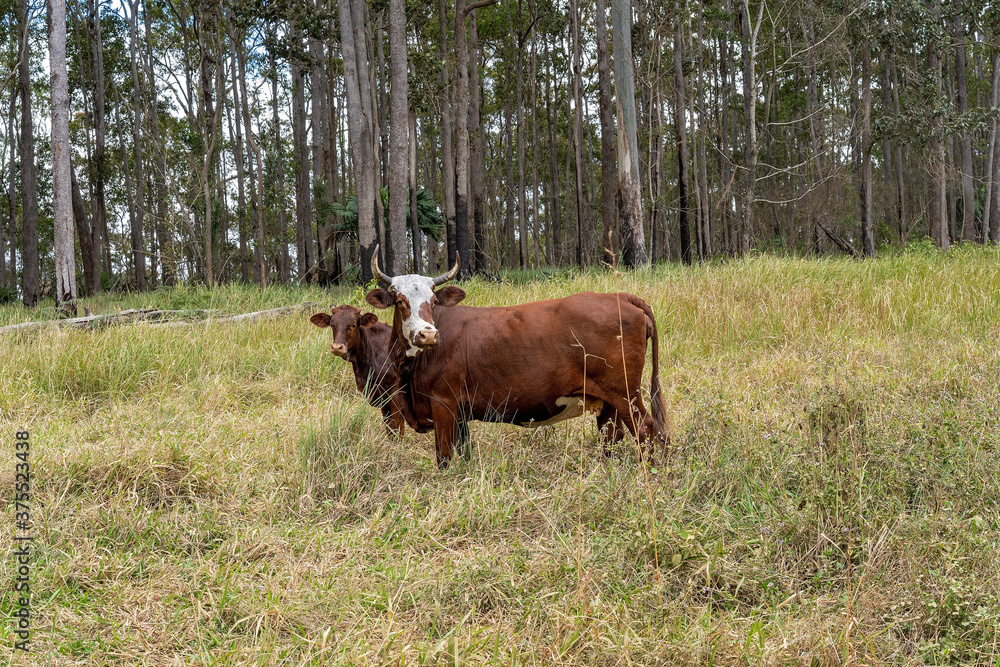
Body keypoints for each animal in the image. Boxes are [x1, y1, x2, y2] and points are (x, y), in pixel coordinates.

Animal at [310, 305, 407, 436]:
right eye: (332, 325)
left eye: (353, 325)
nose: (336, 347)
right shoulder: (382, 399)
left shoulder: (396, 397)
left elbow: (396, 430)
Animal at [364, 247, 669, 467]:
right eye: (400, 301)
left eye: (434, 301)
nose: (427, 335)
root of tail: (619, 296)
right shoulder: (459, 413)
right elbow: (464, 454)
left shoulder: (443, 405)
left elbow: (444, 457)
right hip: (608, 400)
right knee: (611, 436)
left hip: (626, 393)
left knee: (646, 429)